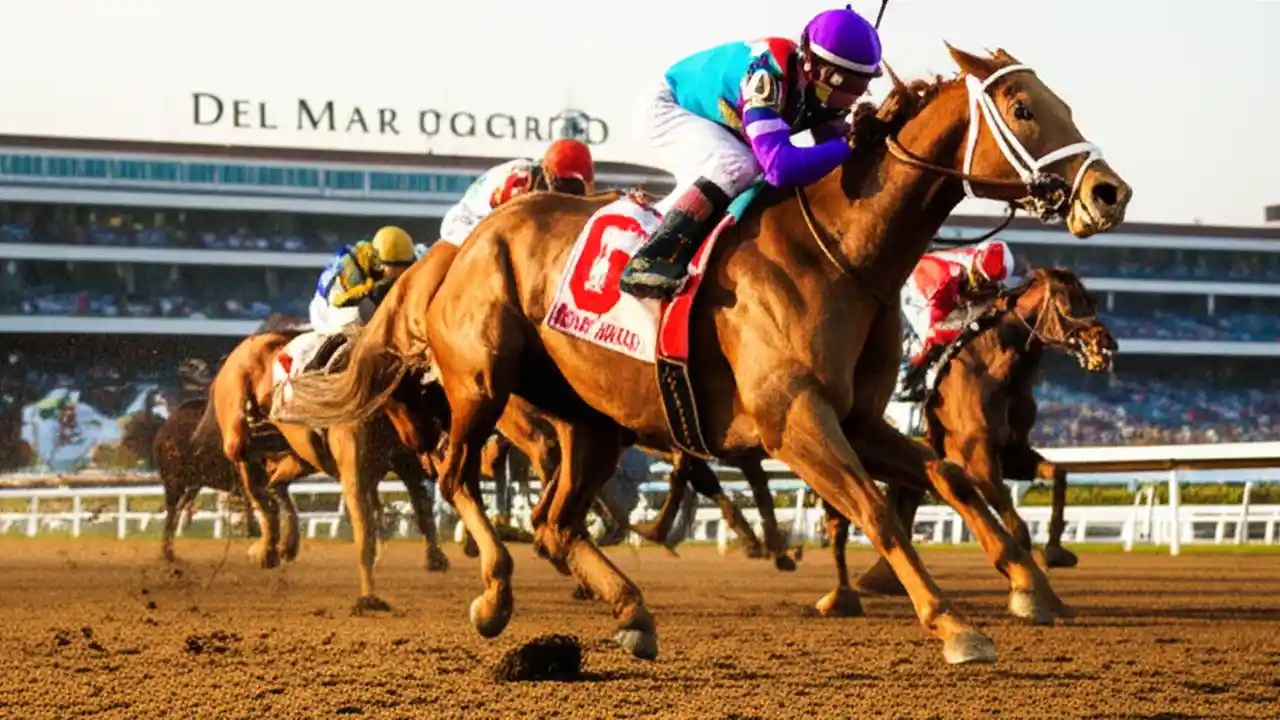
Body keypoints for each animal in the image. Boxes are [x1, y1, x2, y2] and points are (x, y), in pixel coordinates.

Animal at [192, 328, 450, 611]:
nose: (431, 437)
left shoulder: (406, 463)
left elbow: (422, 506)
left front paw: (435, 557)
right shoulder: (355, 475)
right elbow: (365, 533)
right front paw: (368, 597)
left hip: (298, 452)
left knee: (276, 483)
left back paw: (286, 543)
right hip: (238, 438)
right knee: (260, 489)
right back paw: (267, 549)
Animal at [816, 266, 1119, 614]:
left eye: (1091, 300)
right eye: (1069, 302)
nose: (1108, 343)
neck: (993, 368)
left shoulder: (1012, 452)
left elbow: (1059, 474)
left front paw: (1055, 552)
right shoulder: (977, 461)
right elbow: (1017, 528)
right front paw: (1026, 593)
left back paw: (877, 581)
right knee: (840, 521)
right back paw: (842, 595)